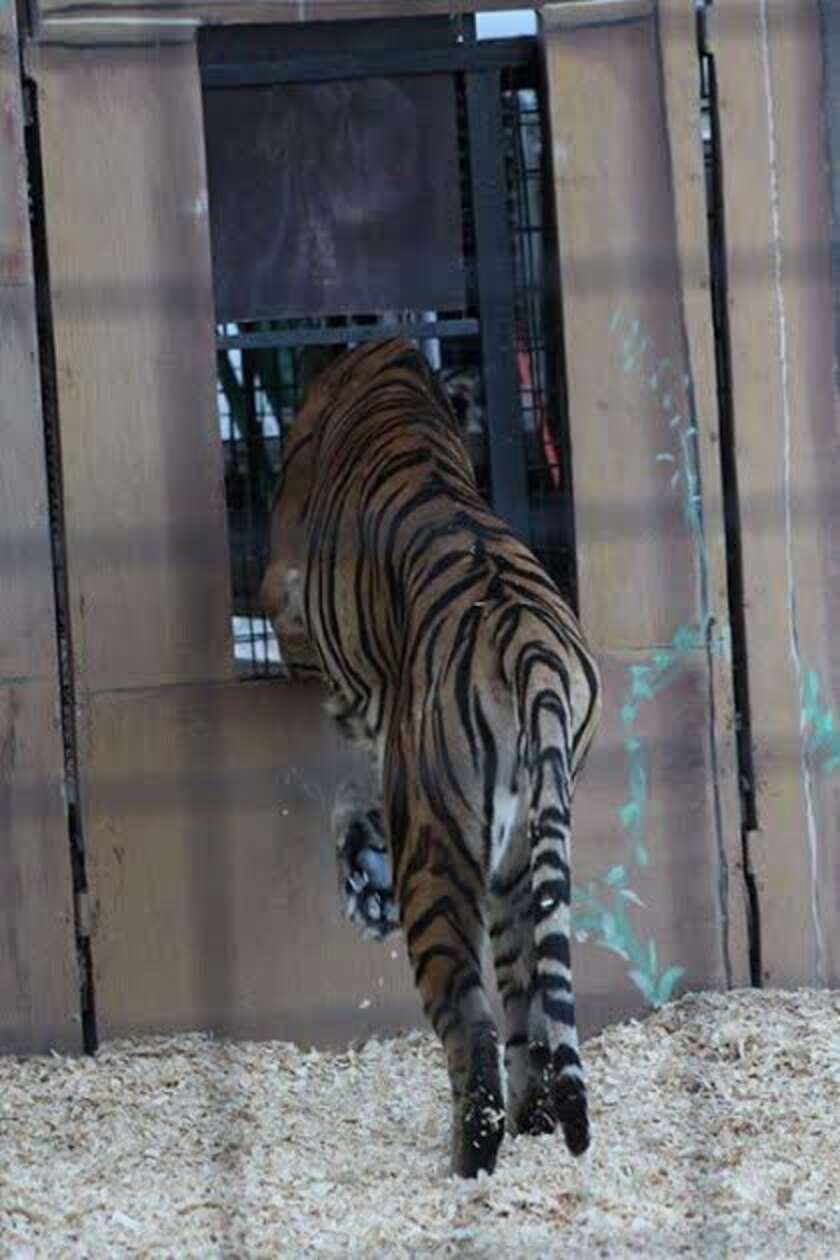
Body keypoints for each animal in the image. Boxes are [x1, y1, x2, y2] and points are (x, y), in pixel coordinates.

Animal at [261, 338, 601, 1177]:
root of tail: (532, 651)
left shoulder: (285, 593)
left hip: (439, 855)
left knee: (473, 1025)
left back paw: (469, 1164)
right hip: (520, 854)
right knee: (528, 1013)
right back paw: (531, 1122)